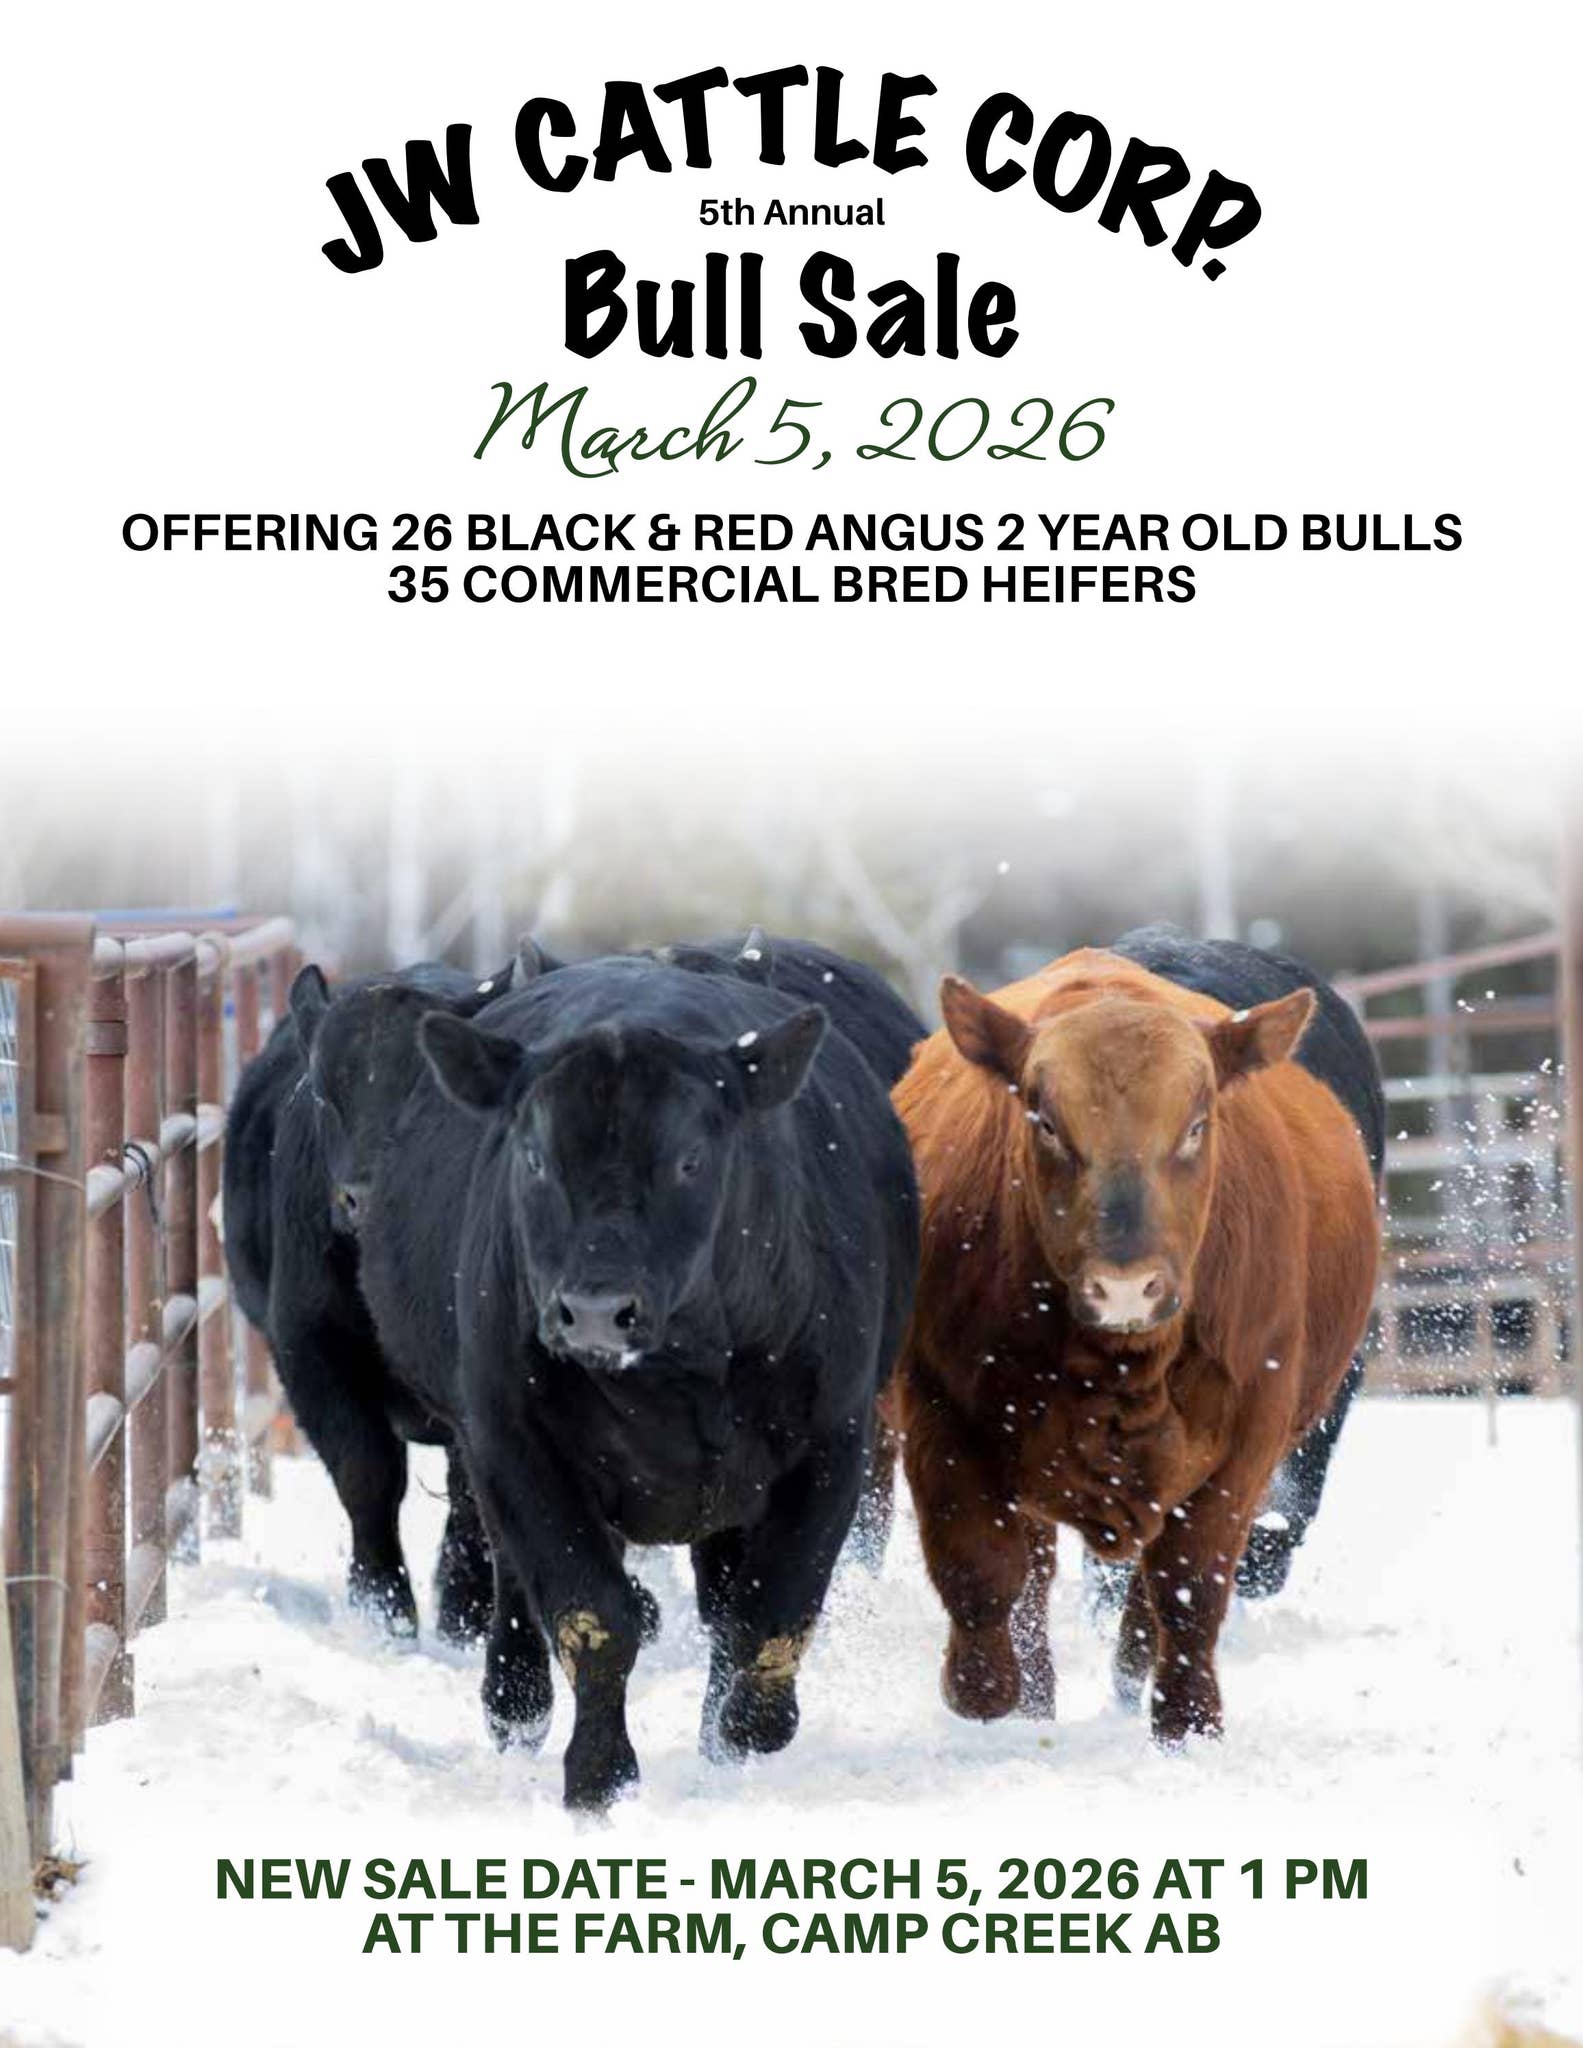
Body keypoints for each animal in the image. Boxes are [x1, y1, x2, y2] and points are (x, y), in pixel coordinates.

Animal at [221, 949, 534, 1638]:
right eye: (321, 1089)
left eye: (430, 1092)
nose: (361, 1199)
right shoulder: (309, 1347)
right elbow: (366, 1473)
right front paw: (382, 1606)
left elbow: (471, 1497)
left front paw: (464, 1610)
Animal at [353, 947, 920, 1810]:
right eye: (534, 1158)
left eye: (690, 1160)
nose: (593, 1311)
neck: (678, 1377)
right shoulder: (514, 1445)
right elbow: (593, 1620)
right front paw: (599, 1779)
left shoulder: (832, 1443)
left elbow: (770, 1616)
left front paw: (741, 1739)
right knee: (518, 1593)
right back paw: (513, 1705)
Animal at [890, 938, 1380, 1747]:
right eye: (1044, 1120)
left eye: (1196, 1125)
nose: (1126, 1287)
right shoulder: (939, 1409)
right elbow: (981, 1574)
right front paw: (990, 1699)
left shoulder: (1248, 1434)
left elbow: (1188, 1587)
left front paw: (1187, 1720)